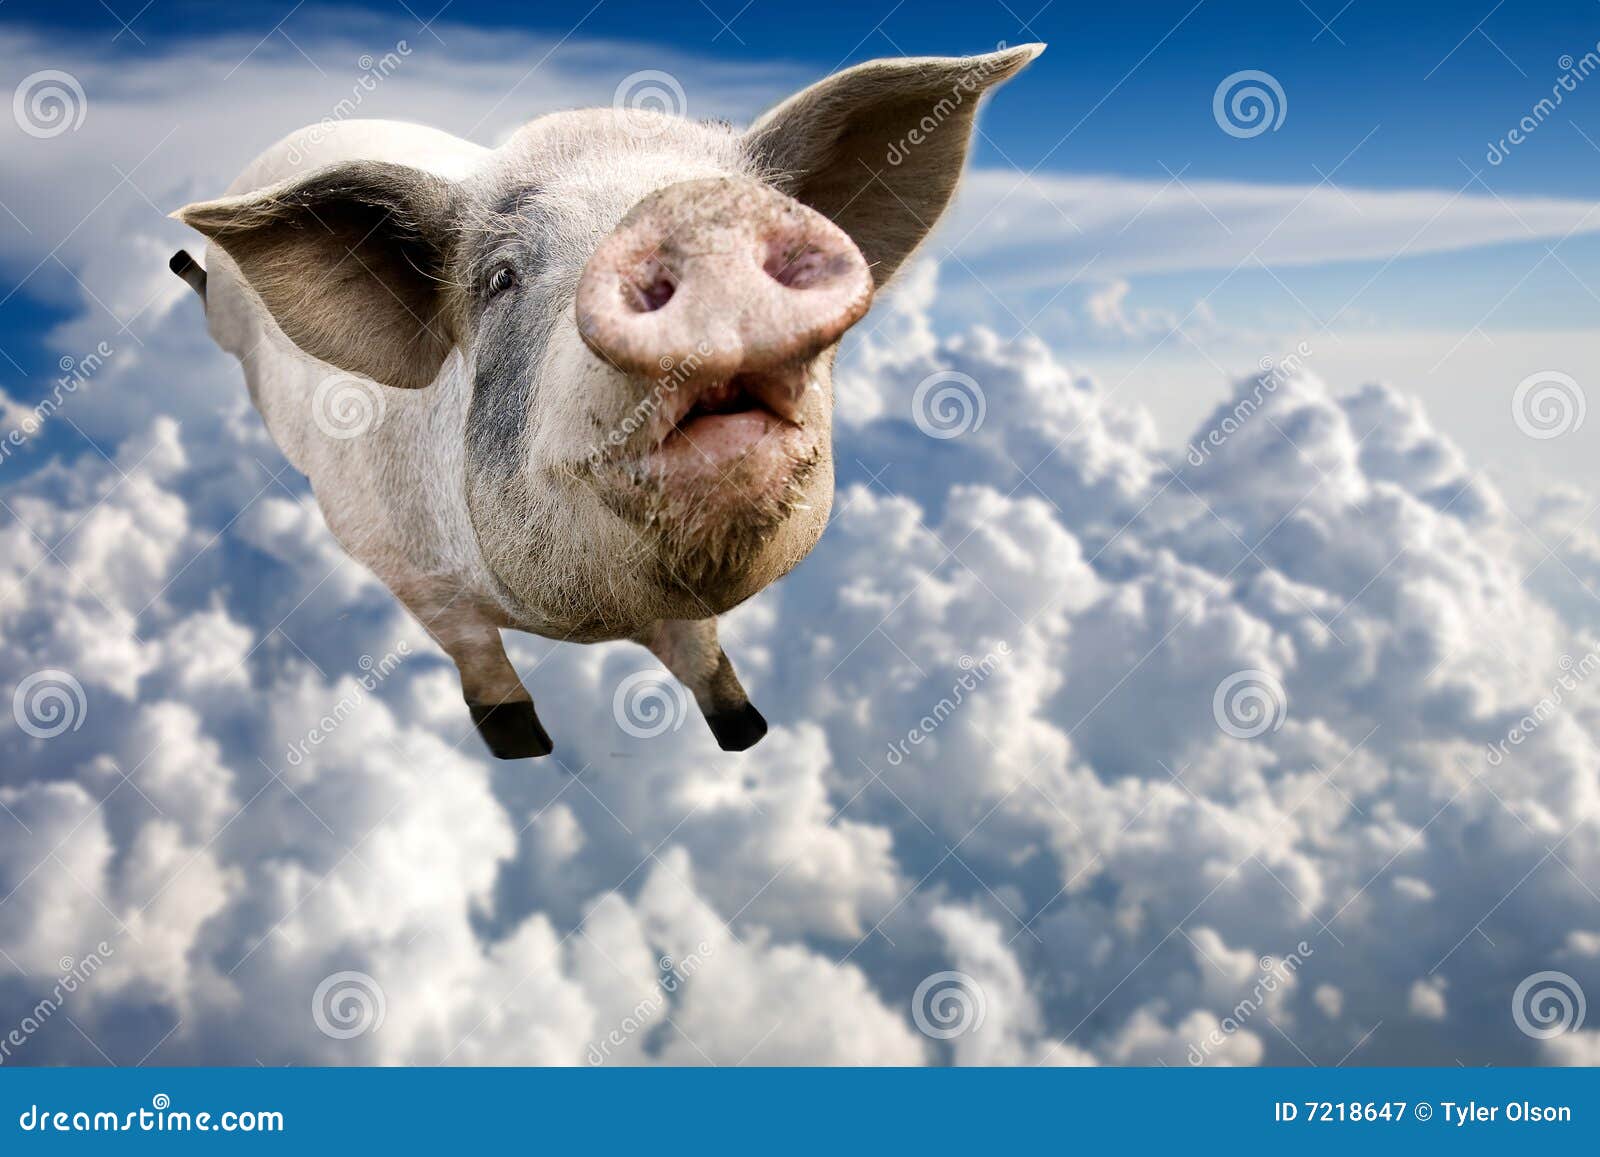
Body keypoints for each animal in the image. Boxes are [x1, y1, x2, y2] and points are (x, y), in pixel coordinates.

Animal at [170, 45, 1042, 760]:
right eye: (500, 277)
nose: (694, 211)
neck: (585, 624)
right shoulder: (396, 558)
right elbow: (472, 650)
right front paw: (526, 748)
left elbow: (701, 647)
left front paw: (747, 728)